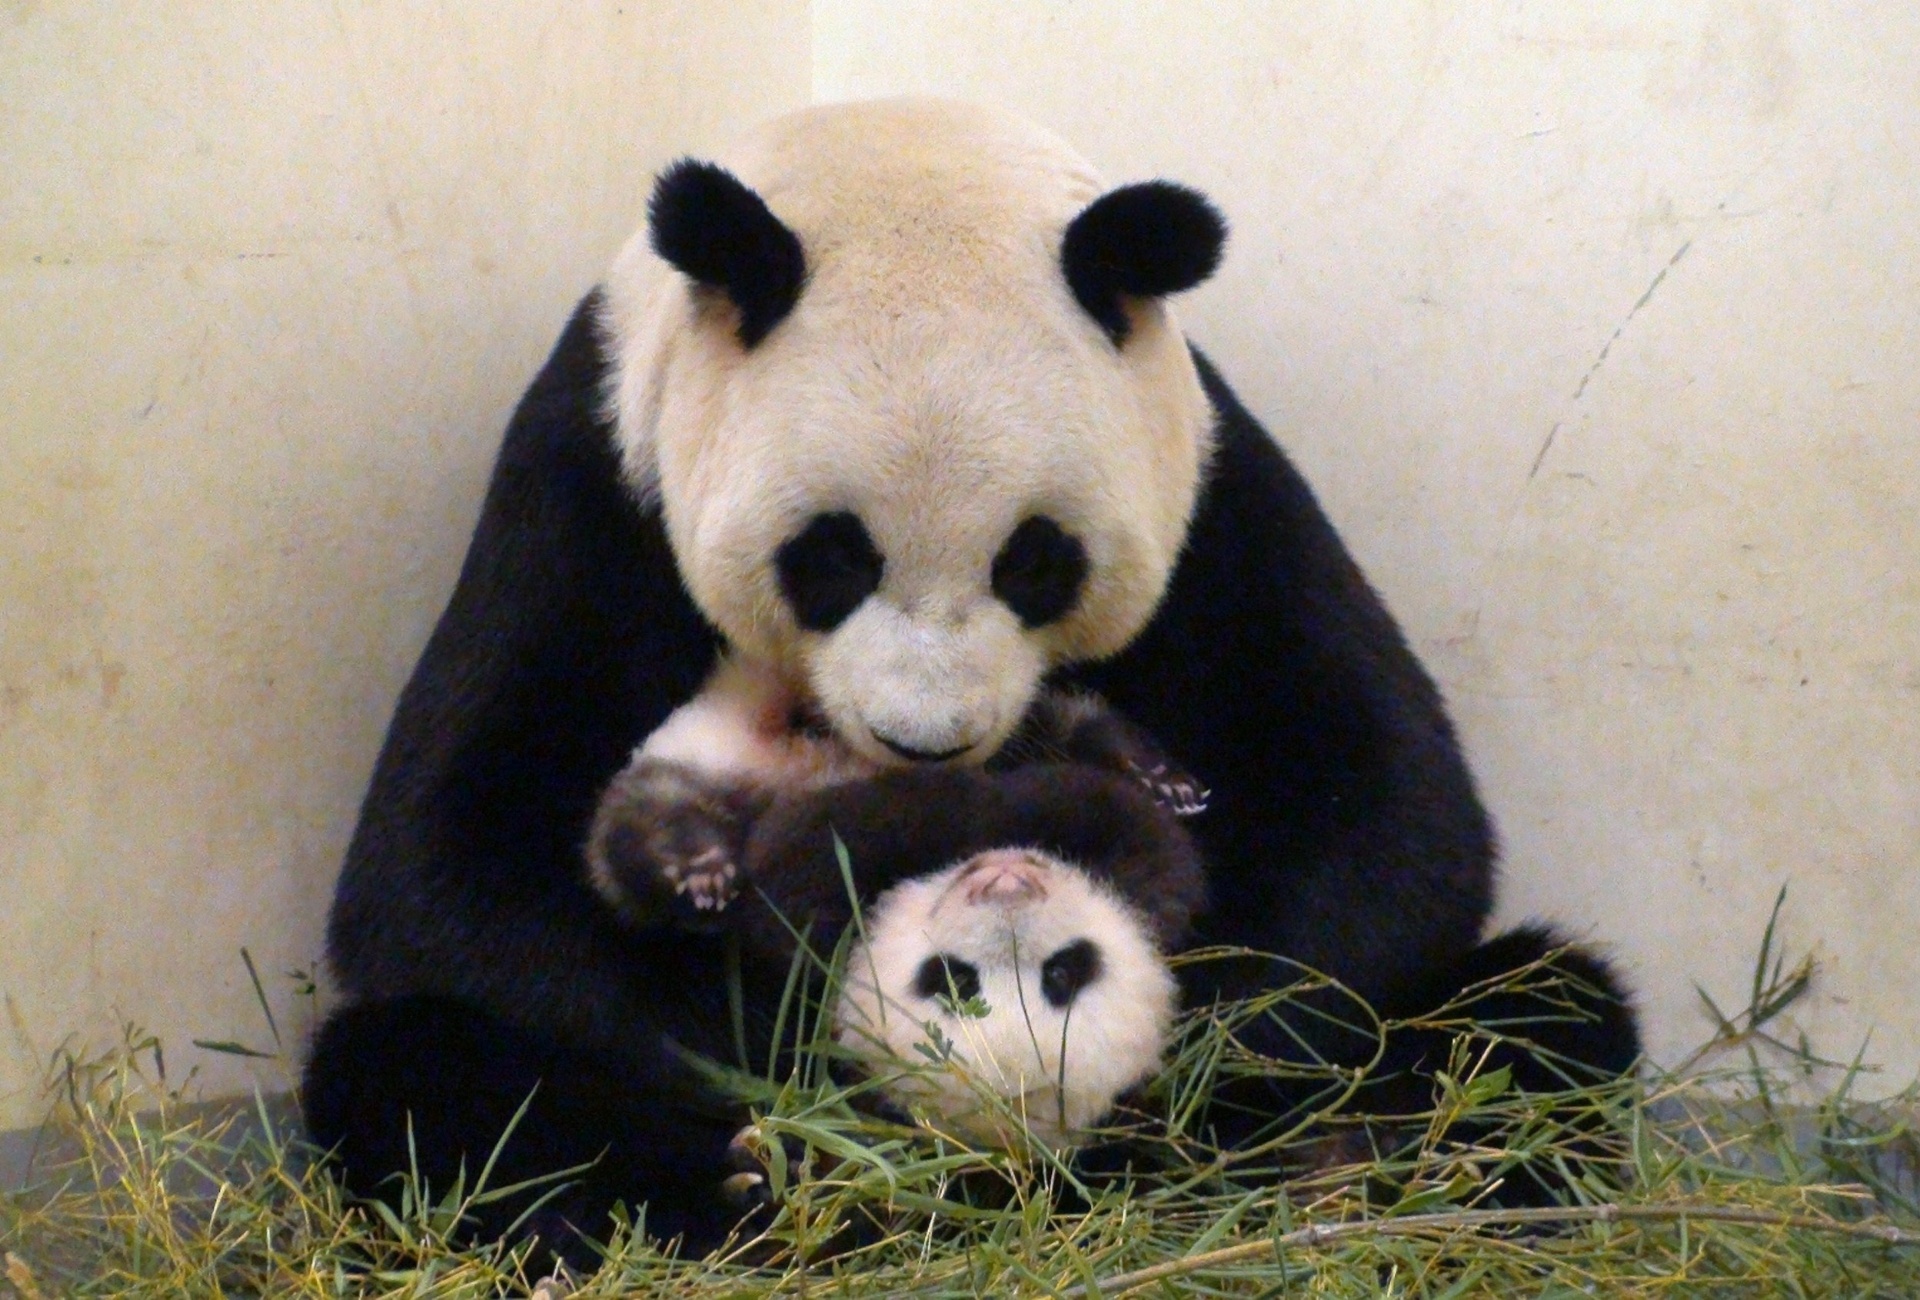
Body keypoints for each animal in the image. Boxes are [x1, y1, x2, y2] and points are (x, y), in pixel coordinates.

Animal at [303, 97, 1641, 1264]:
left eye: (1035, 560)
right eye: (830, 557)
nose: (928, 745)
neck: (901, 163)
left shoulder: (1213, 484)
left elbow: (1387, 824)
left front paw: (1166, 1044)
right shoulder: (593, 479)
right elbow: (452, 876)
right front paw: (808, 1047)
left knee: (1535, 1017)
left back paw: (1365, 1164)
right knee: (419, 1077)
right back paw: (722, 1185)